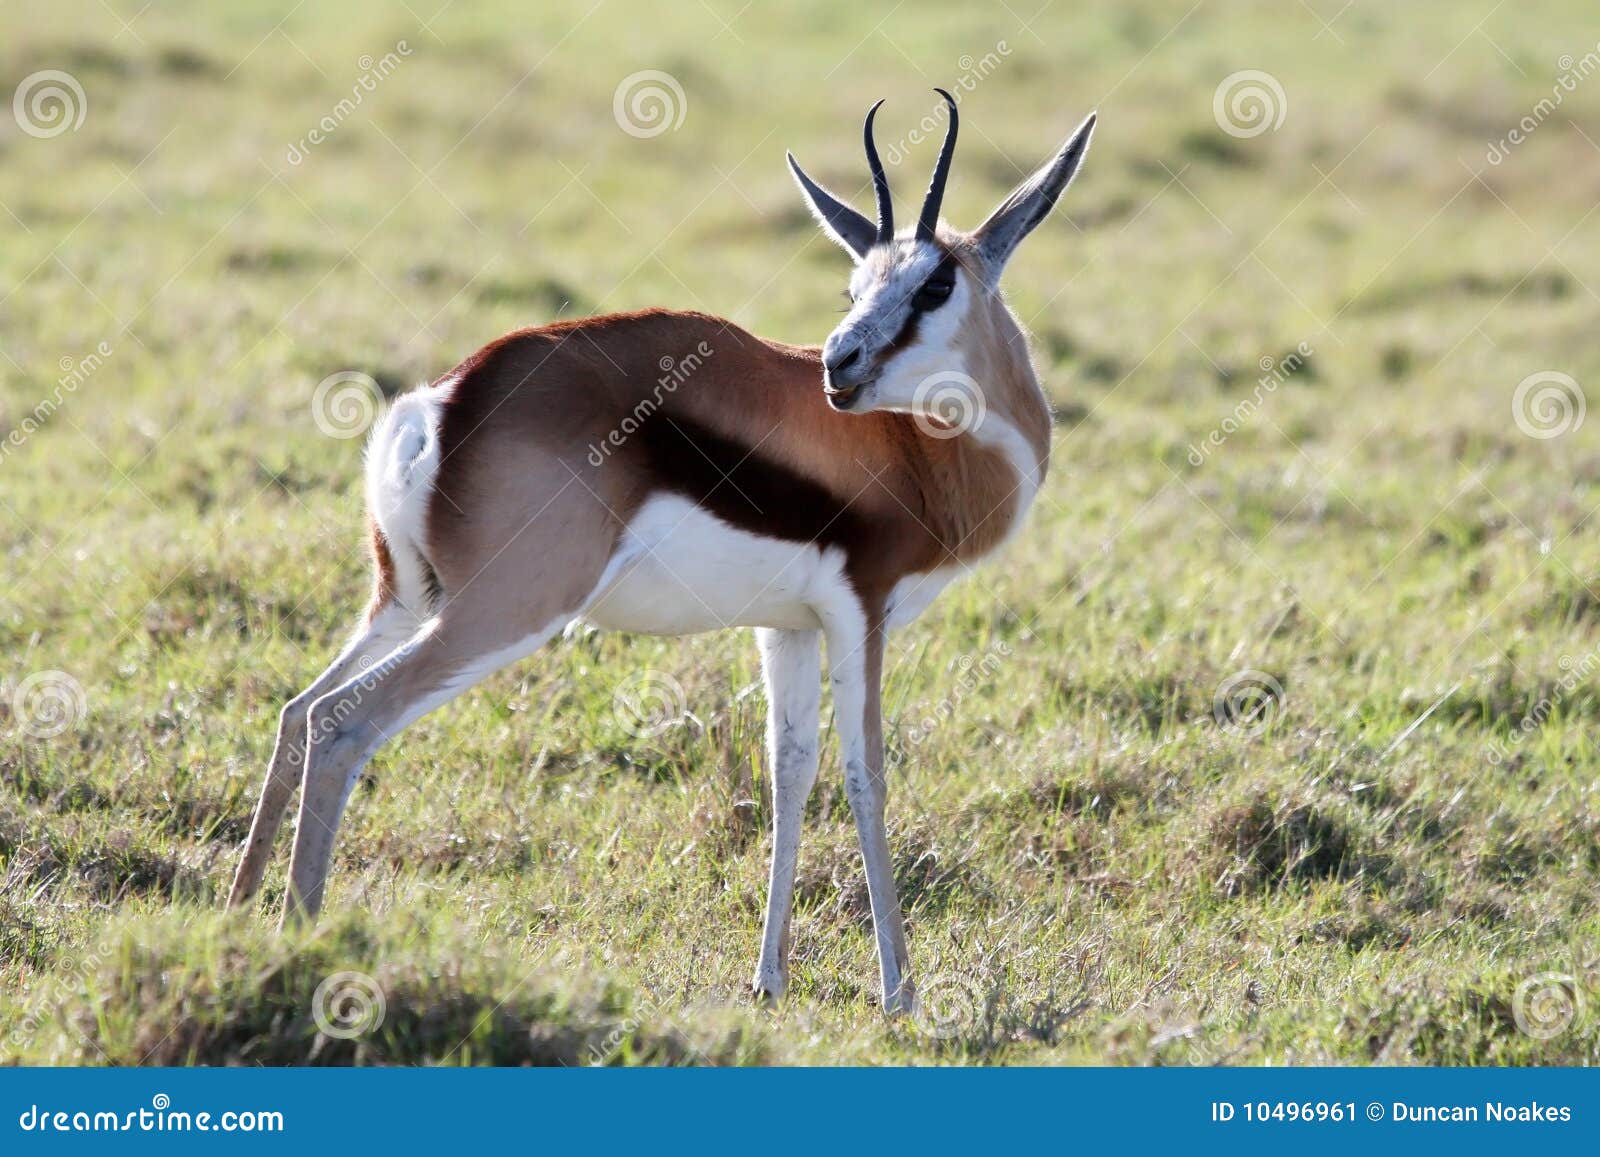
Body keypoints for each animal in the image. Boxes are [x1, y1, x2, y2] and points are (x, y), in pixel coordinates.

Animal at [227, 90, 1096, 1015]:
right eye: (857, 284)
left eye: (934, 282)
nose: (840, 361)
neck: (929, 450)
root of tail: (445, 401)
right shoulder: (860, 614)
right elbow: (867, 774)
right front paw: (899, 993)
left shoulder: (788, 626)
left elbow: (789, 770)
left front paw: (768, 980)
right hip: (503, 612)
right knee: (341, 720)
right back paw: (301, 937)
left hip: (405, 602)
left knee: (296, 711)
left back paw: (237, 913)